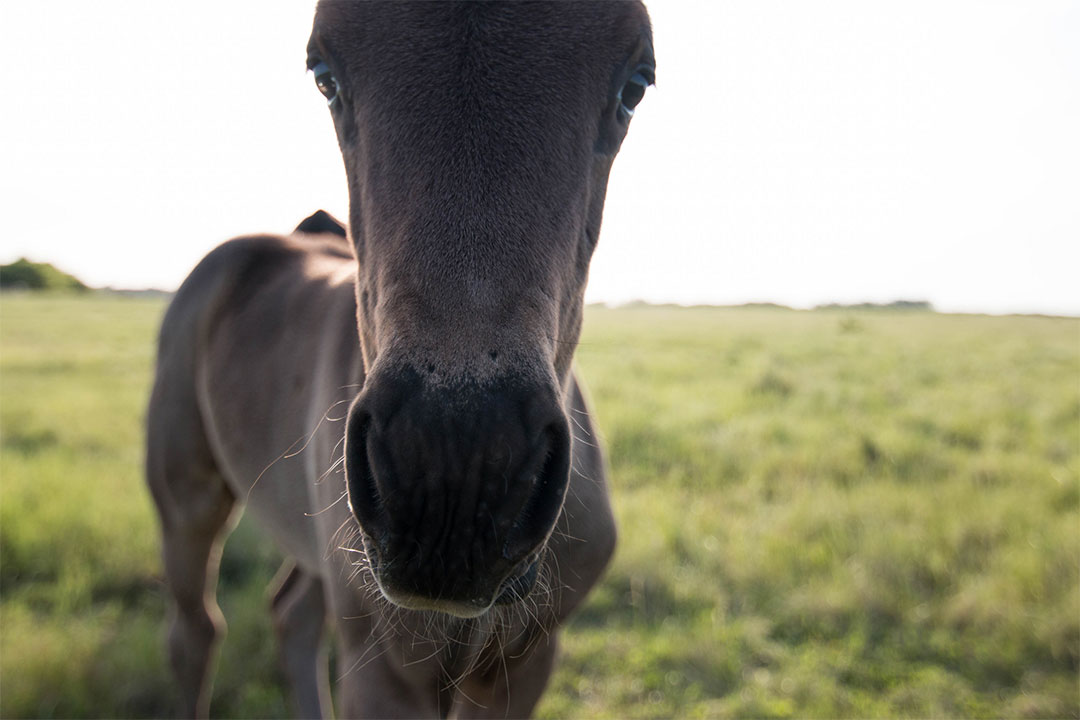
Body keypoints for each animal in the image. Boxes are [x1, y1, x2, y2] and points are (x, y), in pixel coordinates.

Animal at [146, 2, 654, 717]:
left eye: (635, 85)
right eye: (324, 75)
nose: (455, 476)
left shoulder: (524, 663)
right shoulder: (384, 670)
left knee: (291, 615)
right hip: (187, 498)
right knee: (195, 633)